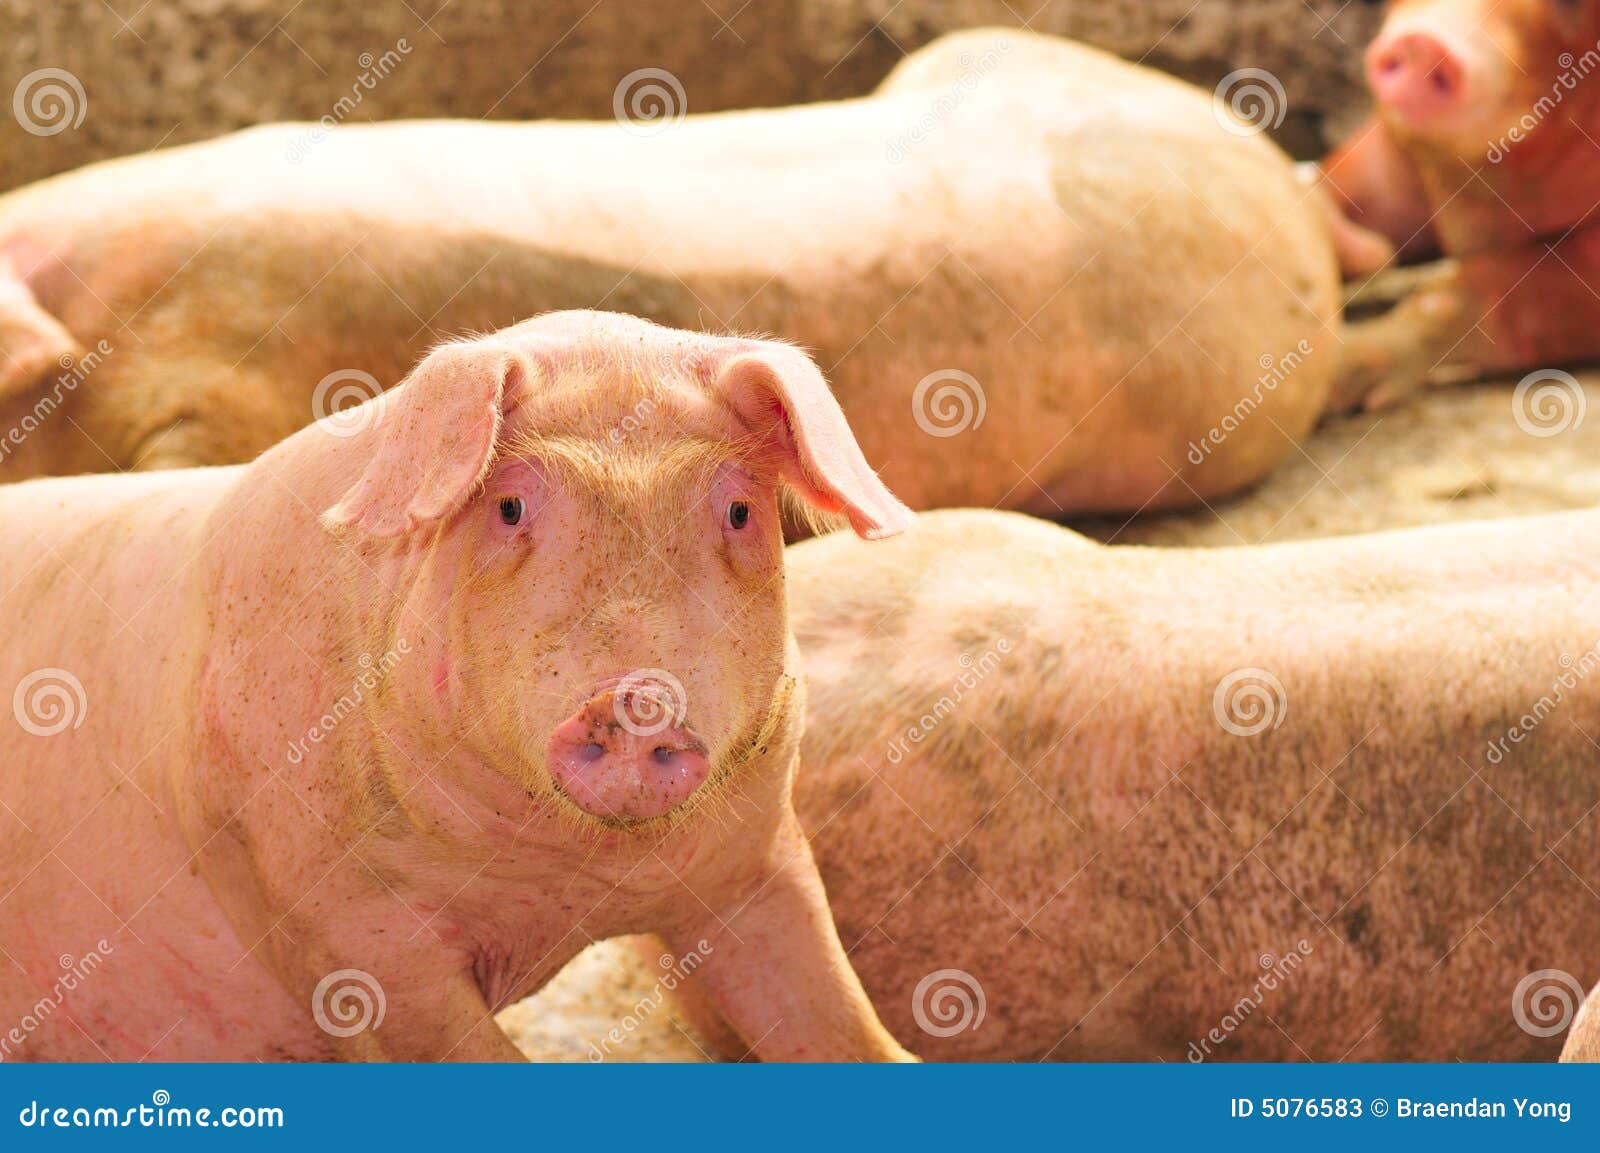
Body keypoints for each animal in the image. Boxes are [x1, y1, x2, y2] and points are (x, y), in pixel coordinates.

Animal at [0, 309, 916, 1062]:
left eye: (739, 512)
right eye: (508, 507)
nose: (636, 703)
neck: (569, 885)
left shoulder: (758, 852)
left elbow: (837, 1022)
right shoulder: (328, 915)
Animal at [1316, 0, 1600, 409]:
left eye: (1569, 5)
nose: (1420, 43)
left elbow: (1486, 291)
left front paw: (1342, 372)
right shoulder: (1398, 151)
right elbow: (1354, 187)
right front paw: (1368, 252)